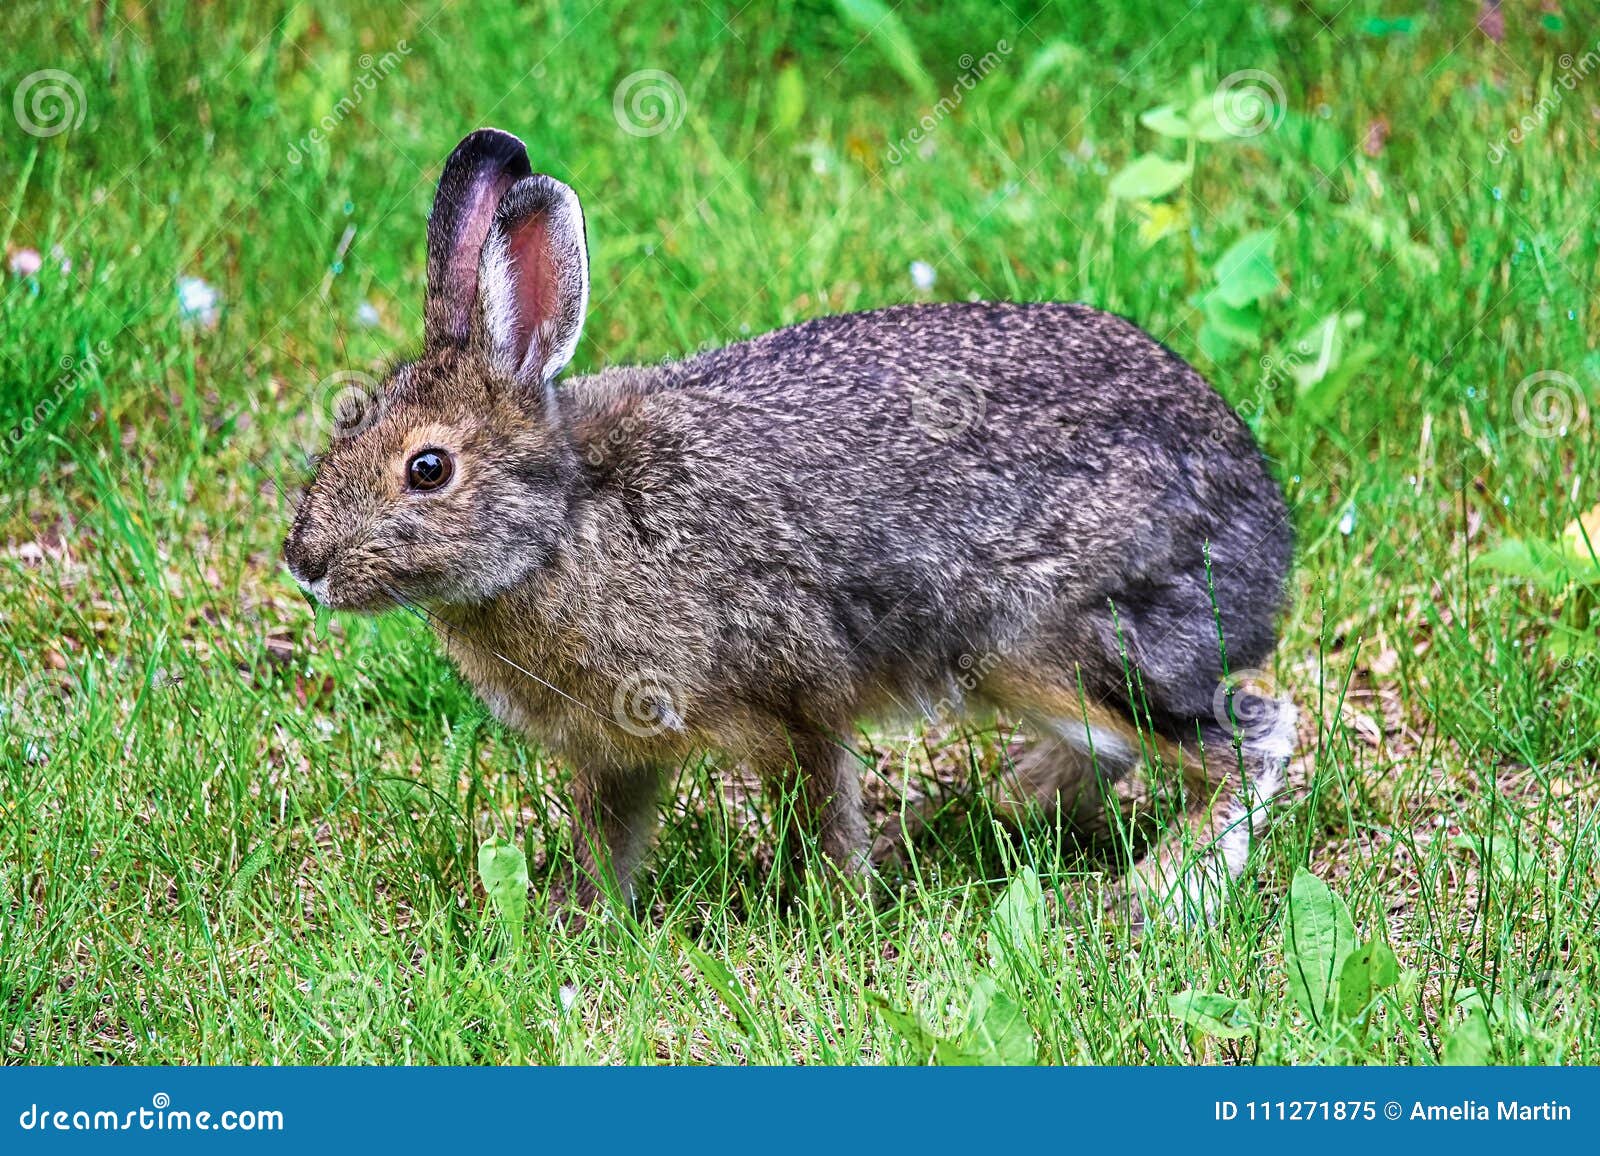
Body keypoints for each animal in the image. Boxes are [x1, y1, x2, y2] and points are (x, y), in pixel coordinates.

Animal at [283, 127, 1296, 924]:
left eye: (428, 469)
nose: (305, 563)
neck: (566, 526)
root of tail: (1265, 537)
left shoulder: (800, 693)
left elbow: (821, 810)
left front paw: (836, 916)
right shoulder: (618, 753)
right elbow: (608, 840)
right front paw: (571, 927)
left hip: (1057, 638)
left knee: (1247, 738)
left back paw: (1154, 892)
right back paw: (995, 811)